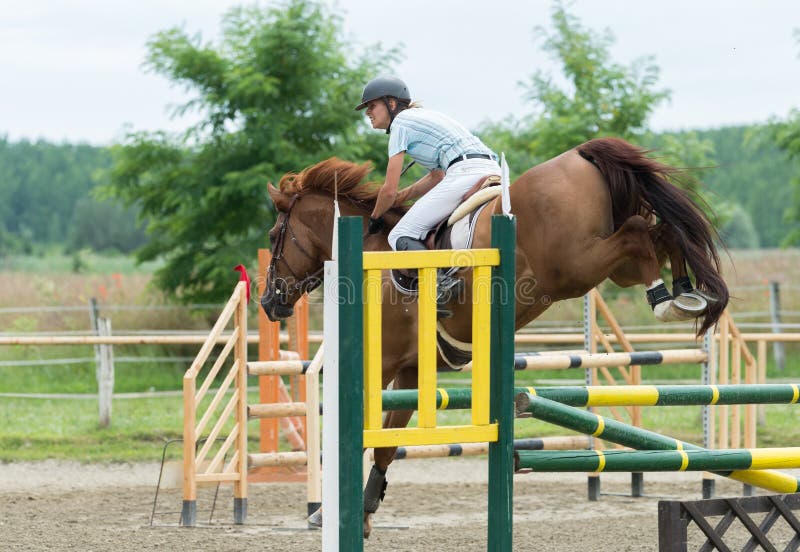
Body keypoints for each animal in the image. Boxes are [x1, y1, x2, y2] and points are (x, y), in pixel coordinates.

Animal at [260, 137, 729, 536]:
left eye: (272, 236)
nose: (268, 302)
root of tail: (581, 154)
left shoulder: (385, 362)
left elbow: (360, 434)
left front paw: (333, 513)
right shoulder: (412, 370)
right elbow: (385, 447)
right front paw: (361, 512)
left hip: (574, 266)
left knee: (636, 232)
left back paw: (667, 300)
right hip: (608, 269)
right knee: (660, 234)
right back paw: (686, 293)